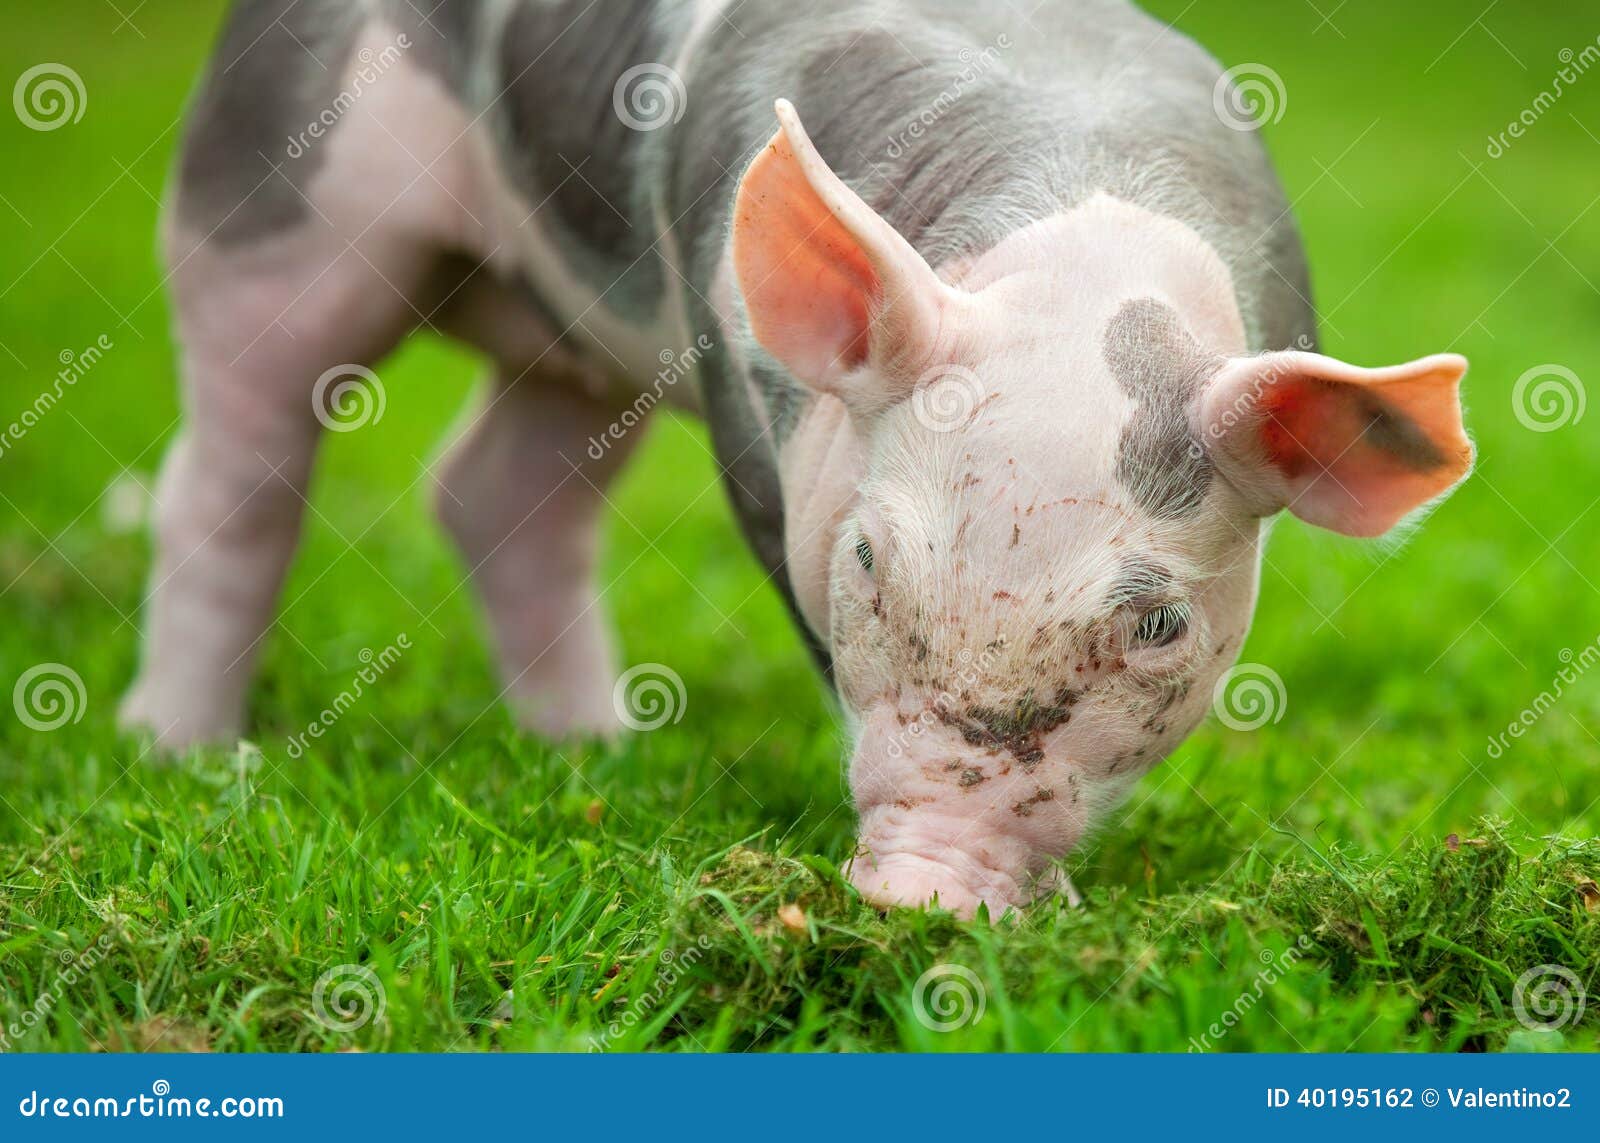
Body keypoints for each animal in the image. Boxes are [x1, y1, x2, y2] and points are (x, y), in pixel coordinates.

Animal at [121, 0, 1472, 917]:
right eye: (867, 560)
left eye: (1160, 628)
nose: (927, 885)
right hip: (272, 198)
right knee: (230, 471)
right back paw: (180, 752)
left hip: (576, 347)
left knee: (500, 490)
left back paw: (593, 749)